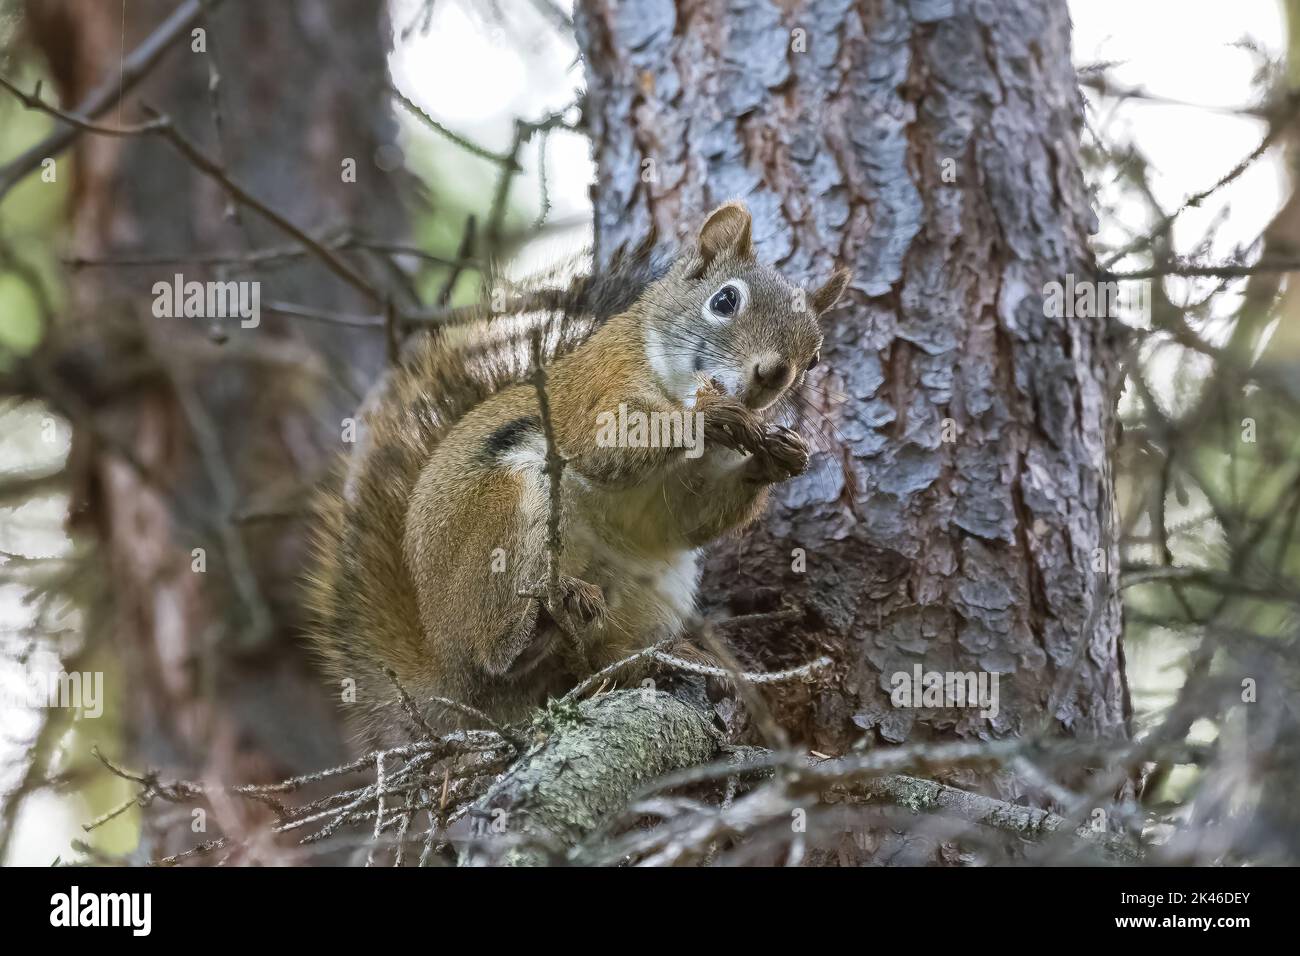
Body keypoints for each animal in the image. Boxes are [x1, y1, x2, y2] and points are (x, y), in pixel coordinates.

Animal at [304, 201, 851, 743]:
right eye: (725, 300)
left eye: (814, 355)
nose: (773, 374)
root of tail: (446, 667)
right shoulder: (598, 390)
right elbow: (609, 446)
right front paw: (713, 415)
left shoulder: (690, 487)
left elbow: (692, 518)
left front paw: (777, 455)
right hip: (501, 514)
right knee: (496, 654)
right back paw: (530, 632)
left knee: (585, 667)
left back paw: (658, 659)